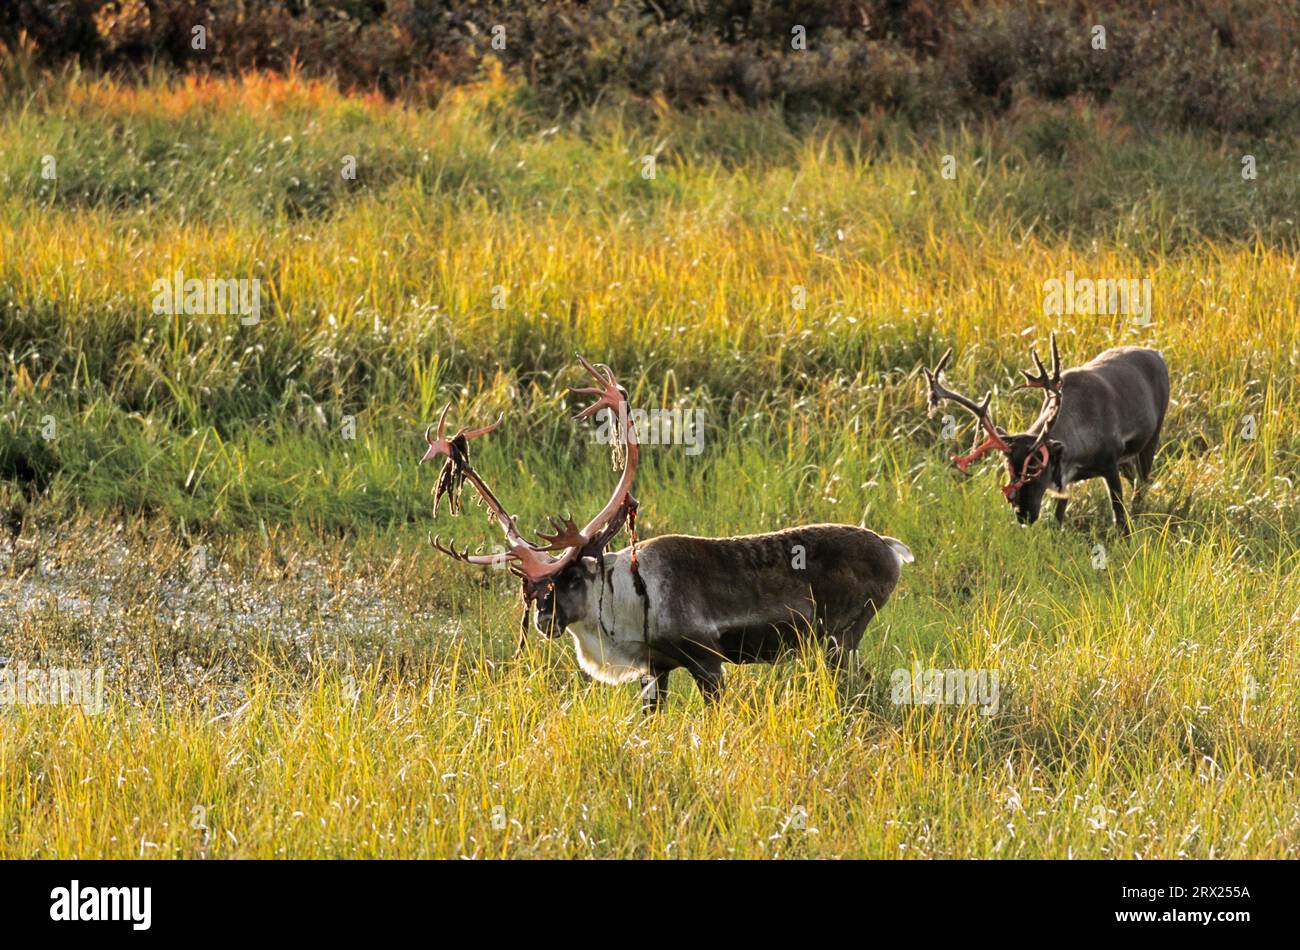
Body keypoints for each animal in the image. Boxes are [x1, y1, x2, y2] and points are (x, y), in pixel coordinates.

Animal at [420, 356, 914, 713]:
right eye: (536, 587)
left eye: (573, 577)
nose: (543, 621)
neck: (627, 600)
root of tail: (892, 550)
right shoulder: (656, 668)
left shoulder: (707, 657)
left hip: (841, 635)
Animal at [922, 333, 1169, 535]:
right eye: (1008, 469)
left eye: (1036, 469)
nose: (1023, 514)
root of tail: (1157, 353)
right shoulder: (1068, 477)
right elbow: (1058, 519)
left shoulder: (1109, 462)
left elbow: (1120, 517)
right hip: (1128, 458)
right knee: (1136, 480)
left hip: (1152, 437)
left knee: (1142, 484)